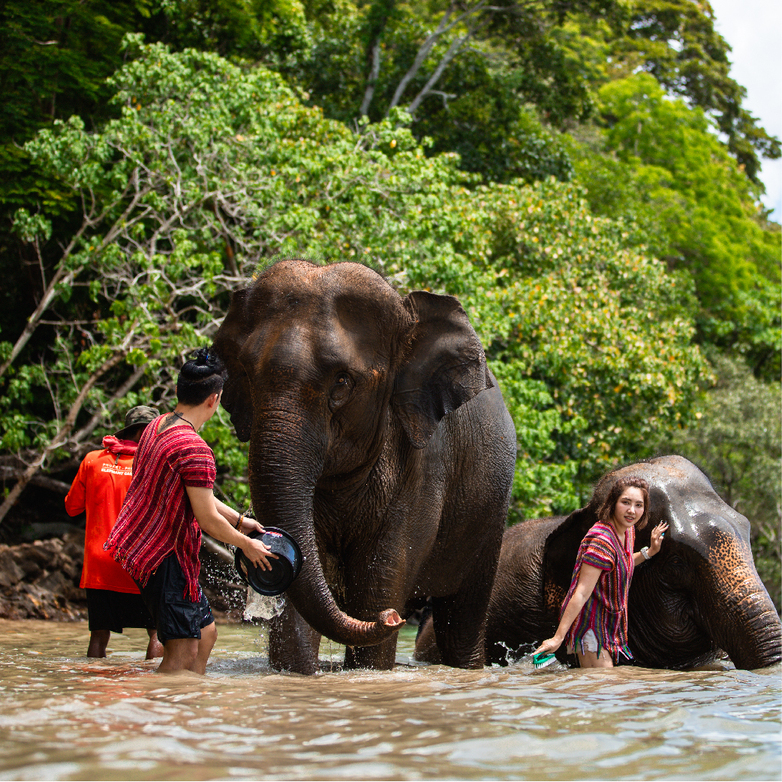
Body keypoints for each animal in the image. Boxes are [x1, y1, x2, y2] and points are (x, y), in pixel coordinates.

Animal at [212, 259, 517, 674]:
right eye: (246, 373)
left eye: (343, 381)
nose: (395, 618)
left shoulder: (424, 462)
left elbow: (377, 586)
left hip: (490, 515)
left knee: (462, 625)